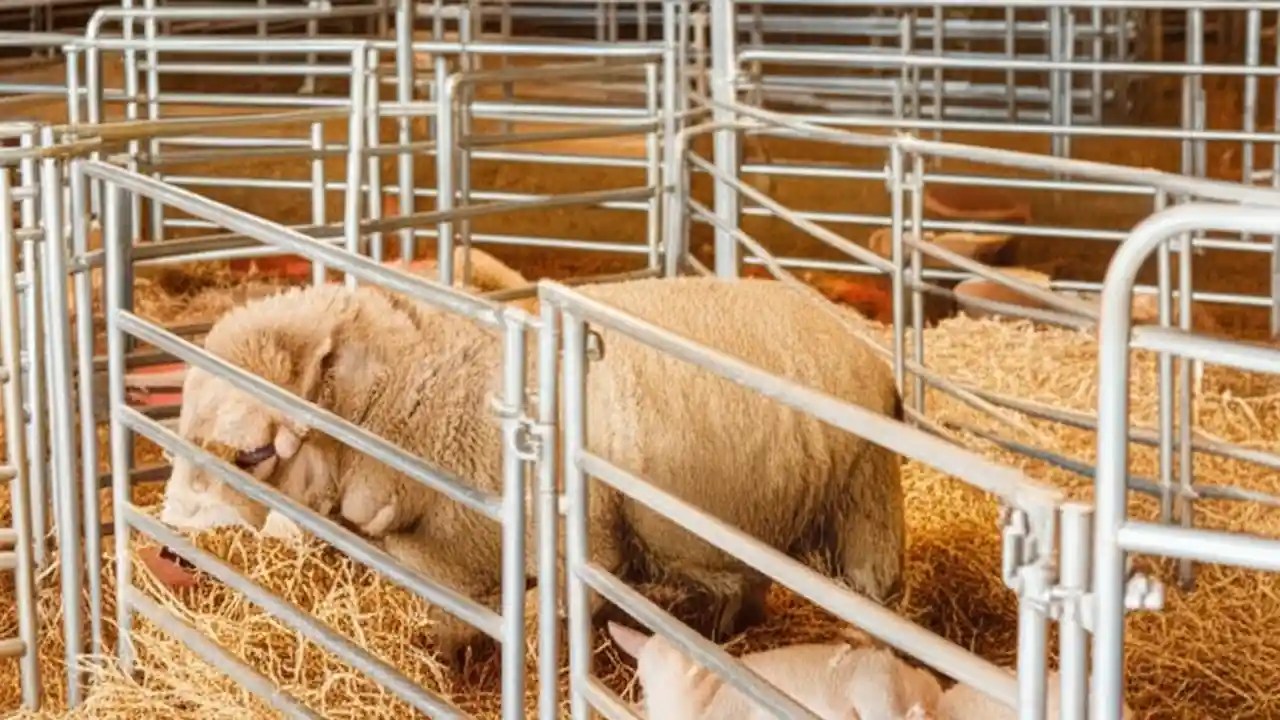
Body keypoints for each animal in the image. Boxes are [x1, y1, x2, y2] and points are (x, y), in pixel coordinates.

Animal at [159, 275, 907, 666]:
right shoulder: (446, 555)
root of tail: (849, 335)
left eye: (251, 453)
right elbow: (455, 627)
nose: (168, 535)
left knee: (876, 597)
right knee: (743, 584)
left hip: (865, 505)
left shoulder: (585, 549)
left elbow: (546, 625)